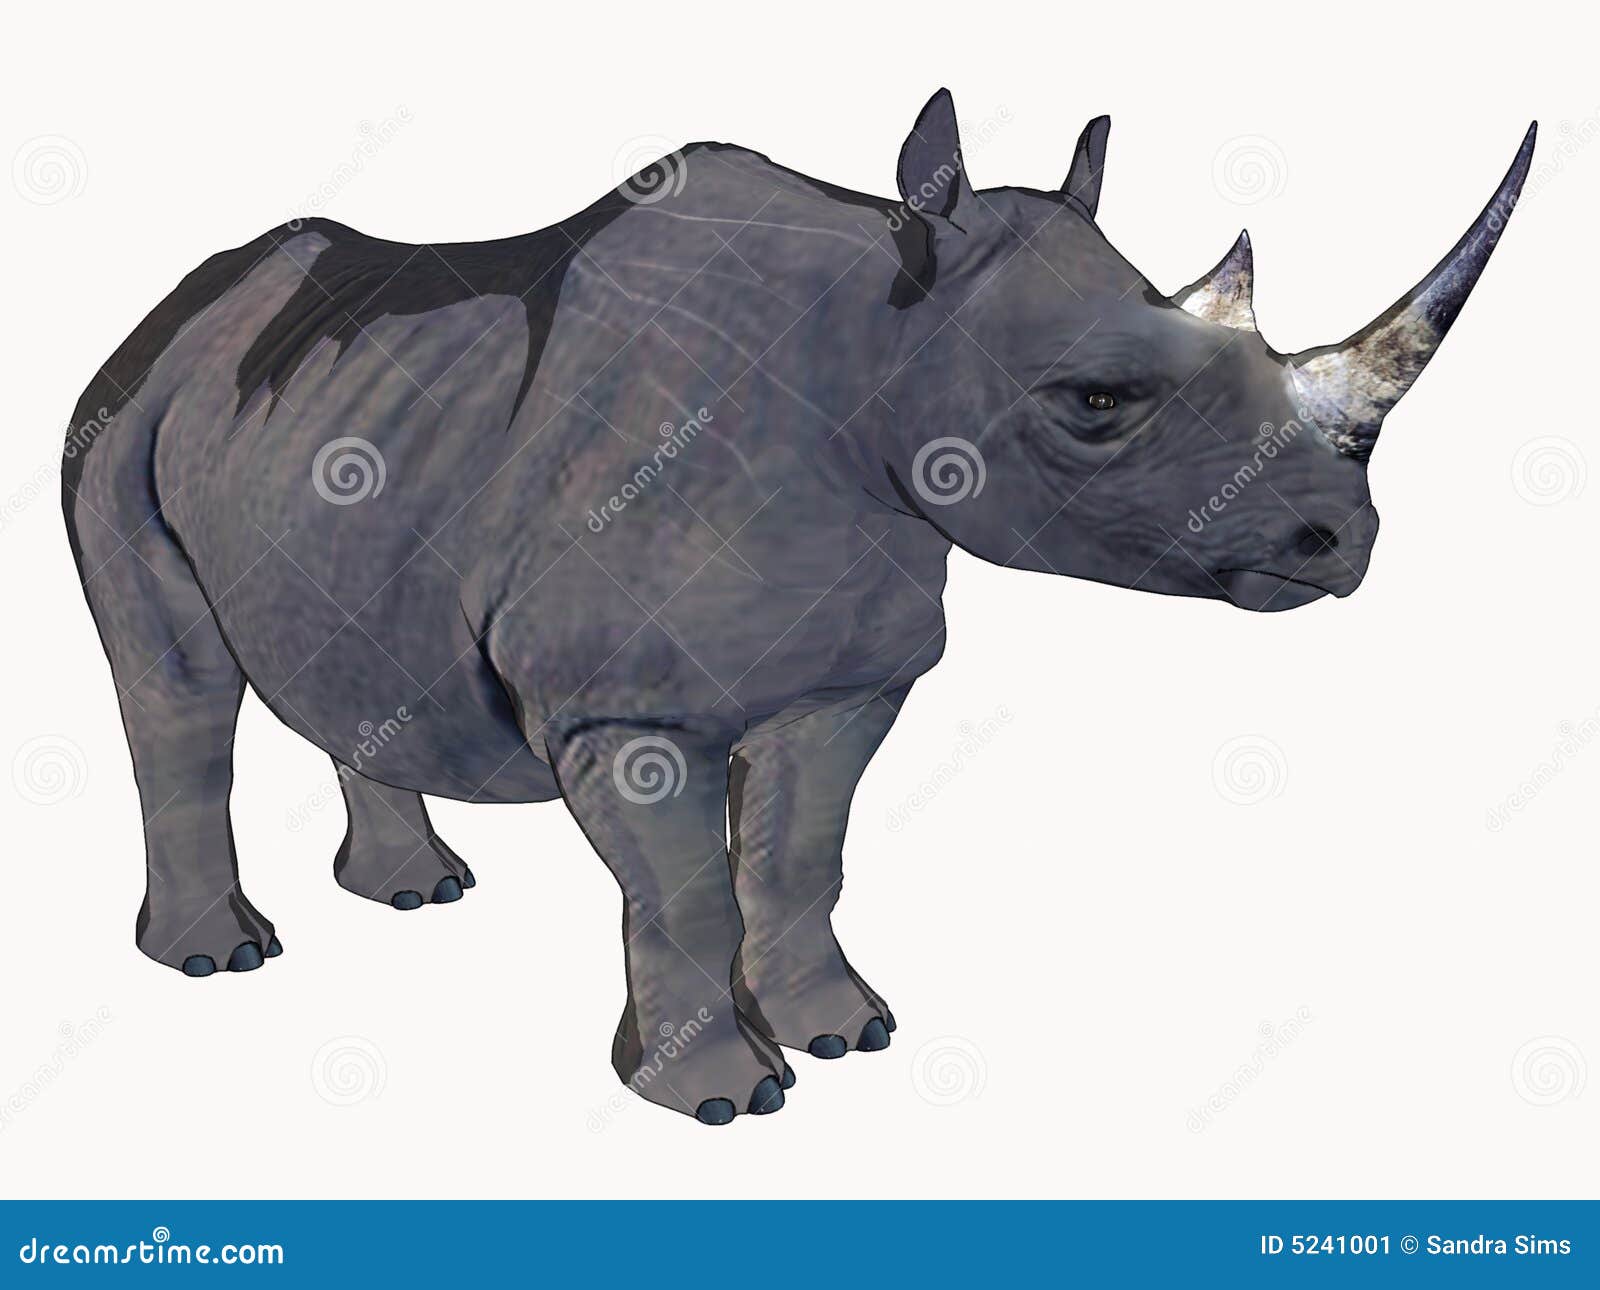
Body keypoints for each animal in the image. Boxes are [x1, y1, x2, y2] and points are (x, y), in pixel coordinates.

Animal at [64, 90, 1533, 1123]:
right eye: (1097, 400)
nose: (1339, 539)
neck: (879, 341)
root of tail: (189, 299)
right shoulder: (623, 704)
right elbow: (686, 892)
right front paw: (721, 1097)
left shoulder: (852, 672)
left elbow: (794, 856)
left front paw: (846, 1032)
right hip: (125, 411)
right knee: (178, 685)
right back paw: (222, 960)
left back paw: (416, 895)